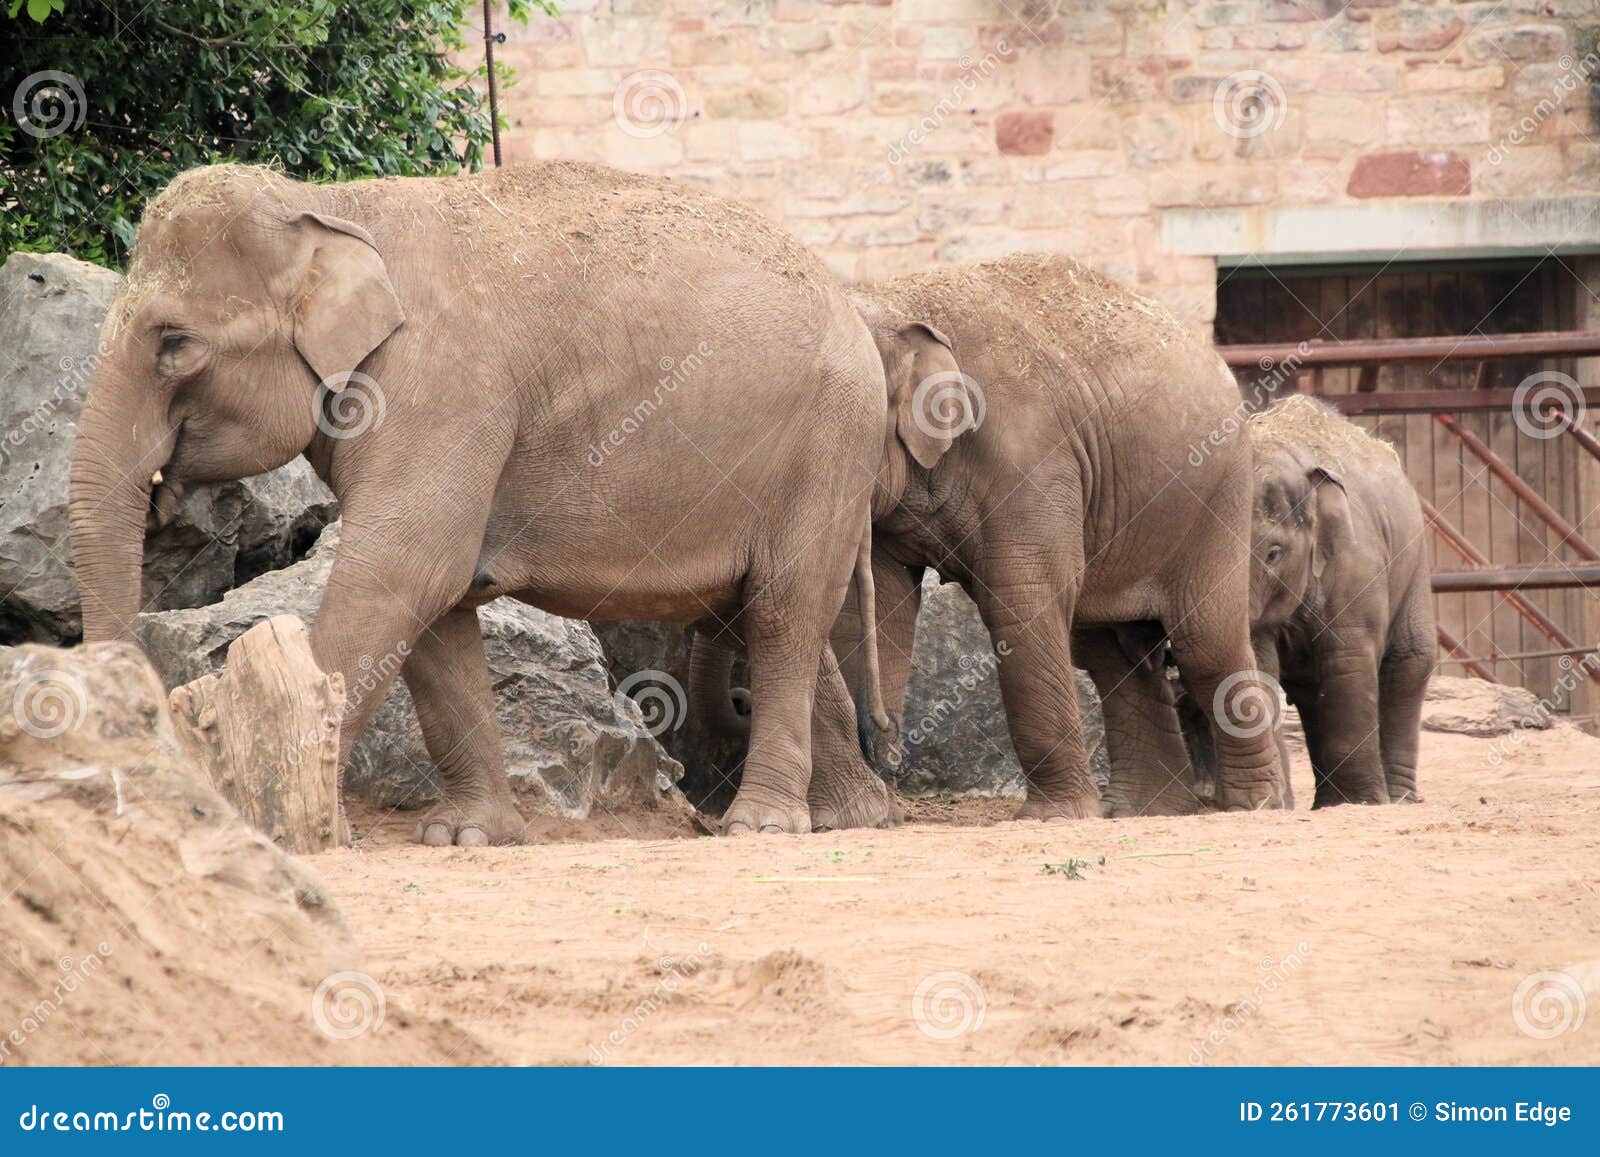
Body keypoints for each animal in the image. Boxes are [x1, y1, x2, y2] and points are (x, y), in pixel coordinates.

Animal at [67, 160, 894, 843]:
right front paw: (466, 835)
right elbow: (439, 603)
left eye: (174, 343)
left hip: (829, 447)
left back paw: (765, 826)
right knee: (761, 611)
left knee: (785, 611)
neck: (332, 204)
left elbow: (403, 571)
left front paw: (258, 810)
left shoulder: (442, 390)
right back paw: (849, 815)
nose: (163, 500)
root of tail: (854, 308)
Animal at [694, 252, 1284, 820]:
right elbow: (883, 607)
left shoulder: (1032, 456)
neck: (898, 302)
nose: (888, 747)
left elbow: (1022, 599)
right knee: (1111, 653)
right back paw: (1145, 810)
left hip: (1218, 498)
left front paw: (1056, 816)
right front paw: (885, 811)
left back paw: (1254, 804)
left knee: (1205, 642)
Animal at [1103, 395, 1436, 812]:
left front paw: (1361, 802)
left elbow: (1348, 659)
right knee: (1310, 689)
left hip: (1415, 560)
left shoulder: (1357, 563)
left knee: (1409, 661)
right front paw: (1277, 804)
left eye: (1273, 554)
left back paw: (1396, 799)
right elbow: (1259, 668)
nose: (1155, 648)